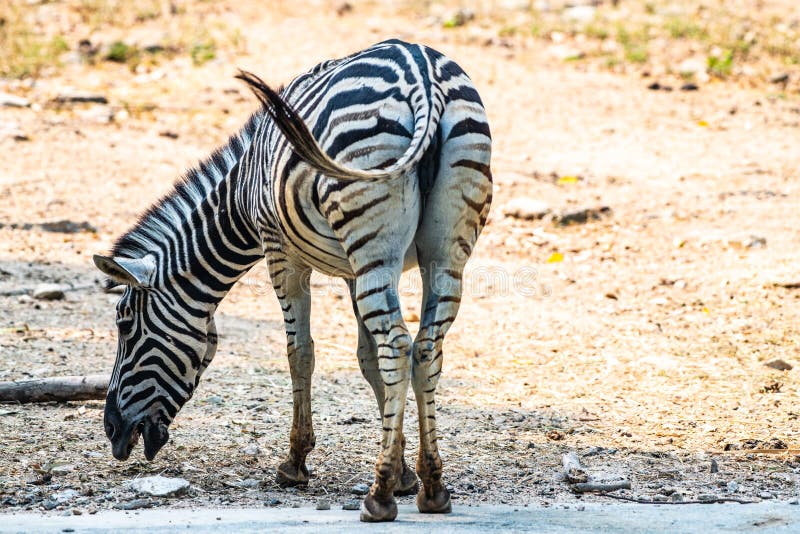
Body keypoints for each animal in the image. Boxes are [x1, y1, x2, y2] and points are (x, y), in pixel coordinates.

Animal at [93, 39, 492, 522]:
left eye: (124, 325)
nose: (111, 429)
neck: (240, 193)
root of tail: (424, 75)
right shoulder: (350, 270)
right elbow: (366, 358)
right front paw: (402, 472)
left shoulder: (281, 252)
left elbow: (300, 352)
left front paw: (298, 462)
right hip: (443, 249)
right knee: (426, 348)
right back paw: (432, 486)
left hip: (372, 241)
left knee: (398, 345)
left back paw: (378, 497)